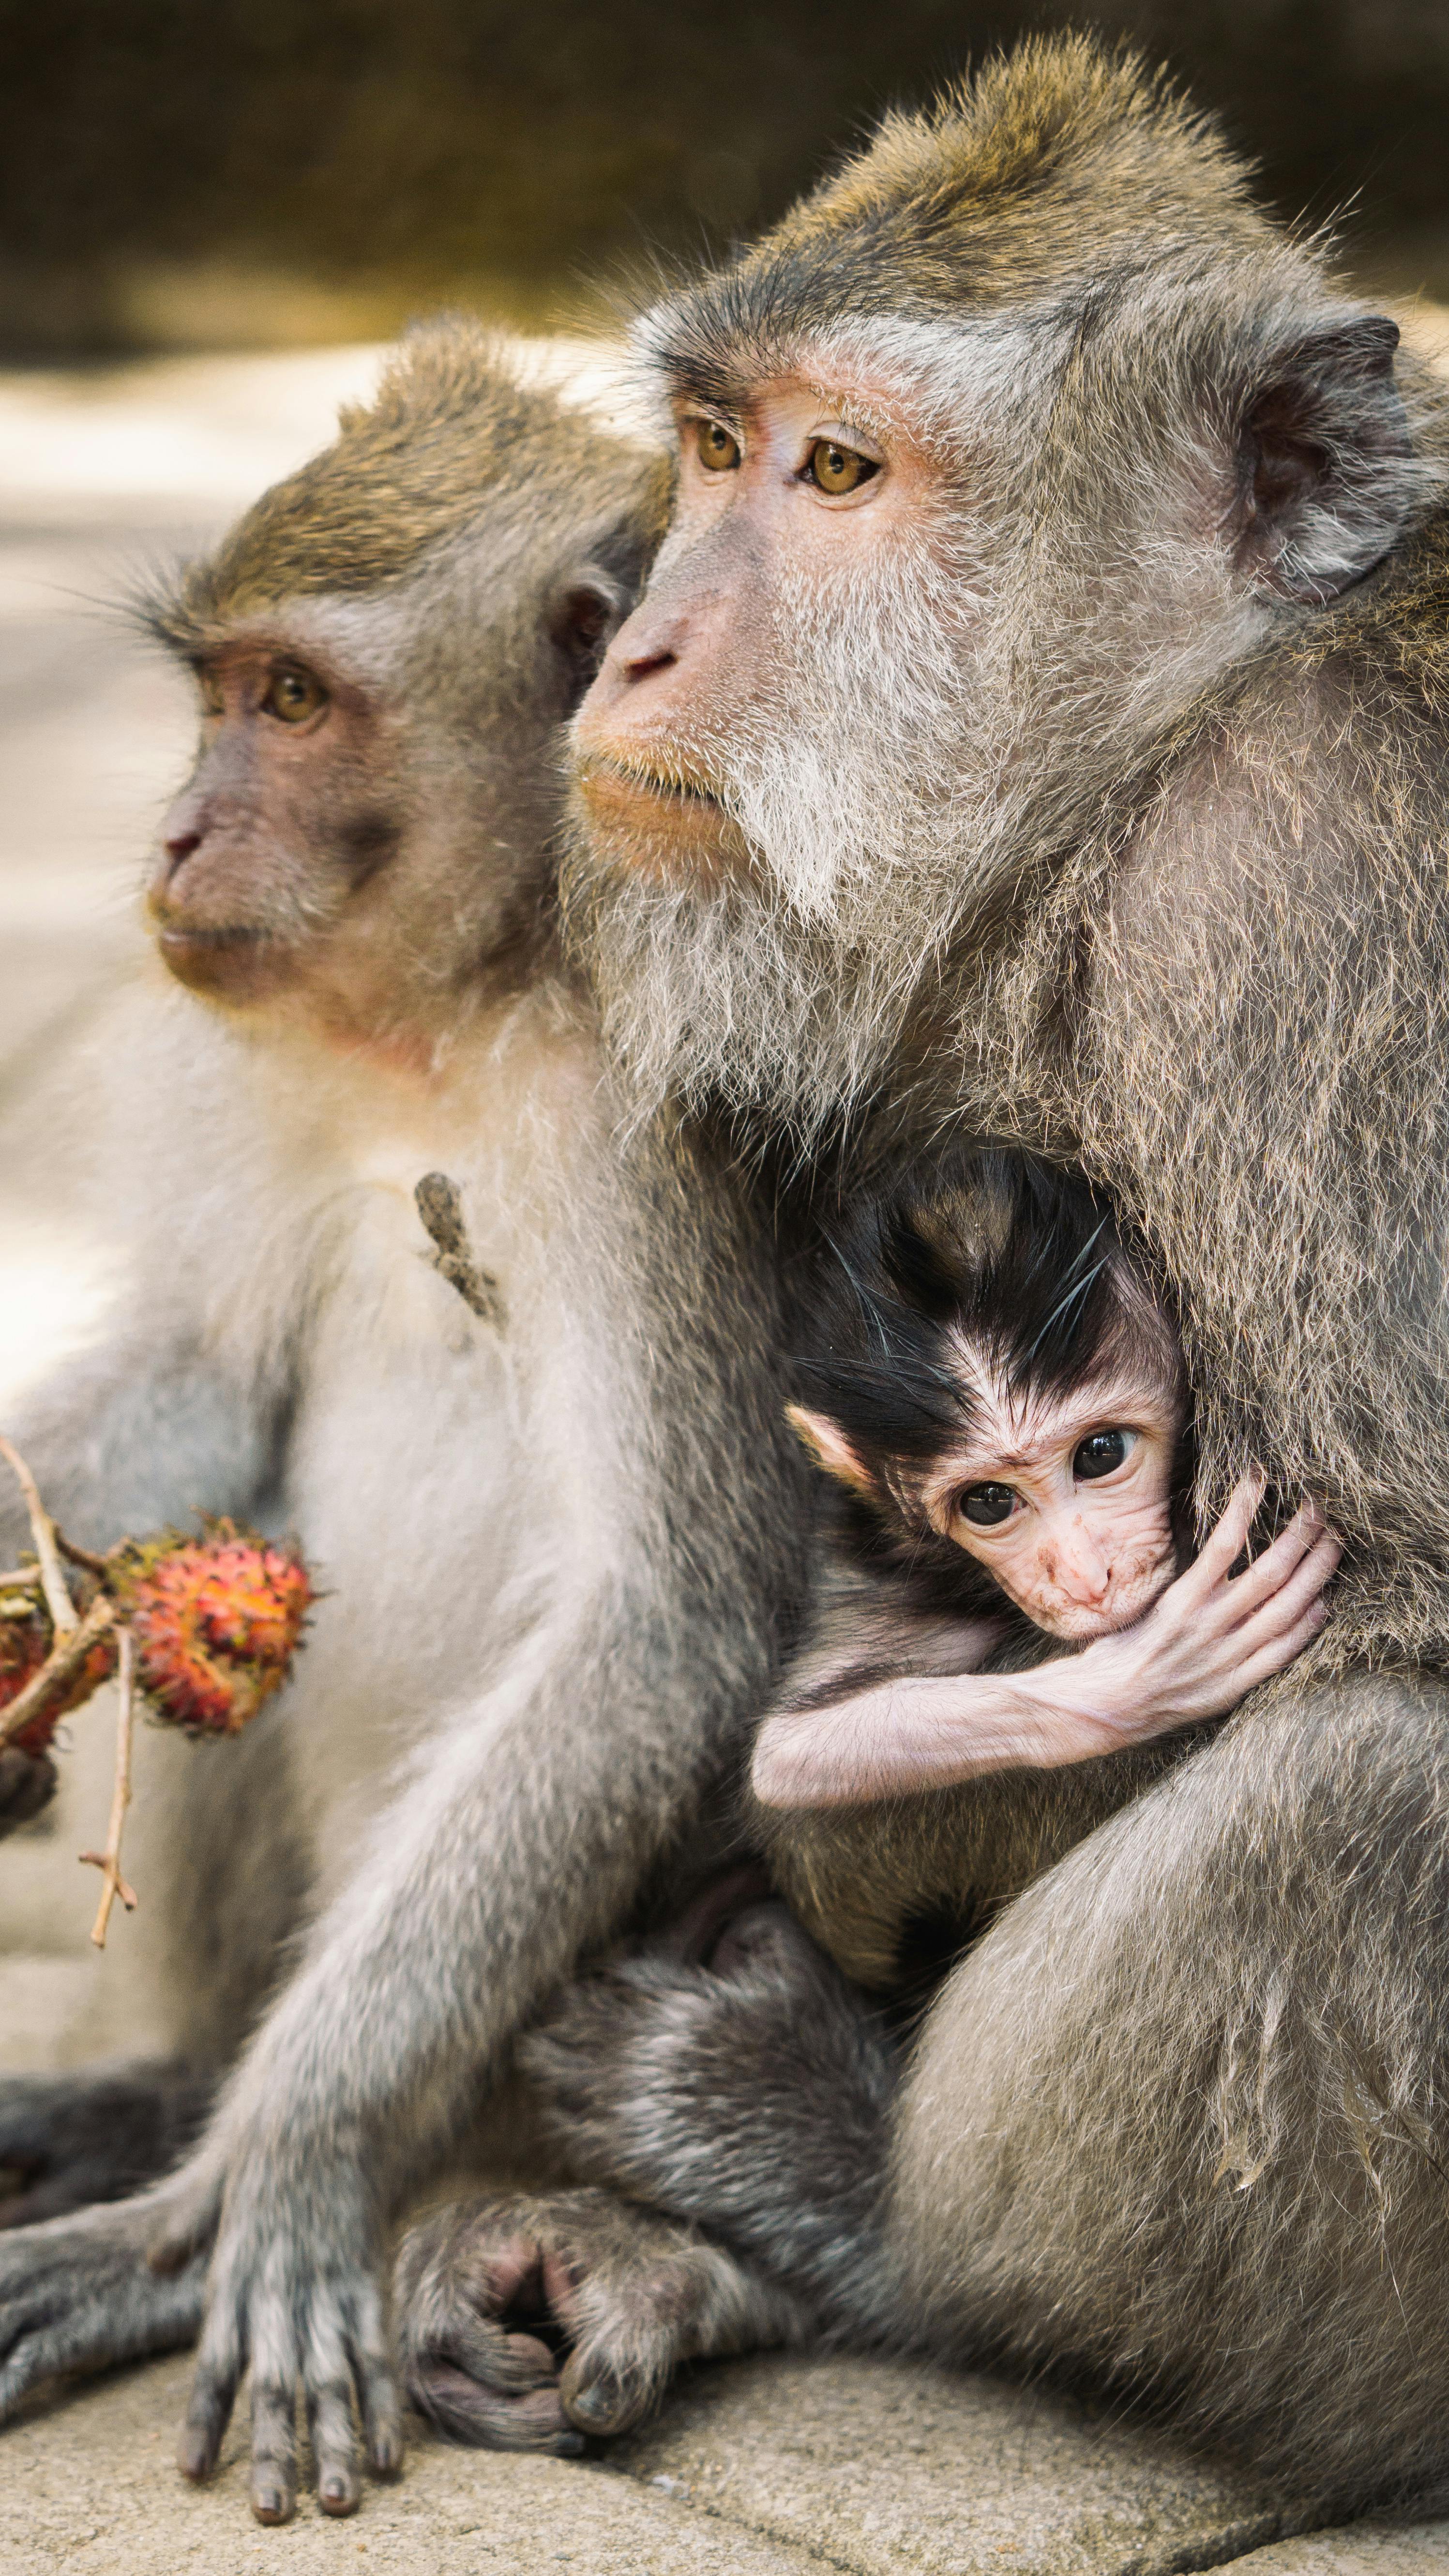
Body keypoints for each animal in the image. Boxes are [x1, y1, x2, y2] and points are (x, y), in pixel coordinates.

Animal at [391, 37, 1449, 2511]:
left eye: (841, 469)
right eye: (708, 446)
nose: (634, 627)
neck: (1152, 757)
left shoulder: (1293, 907)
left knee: (1367, 1792)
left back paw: (850, 2208)